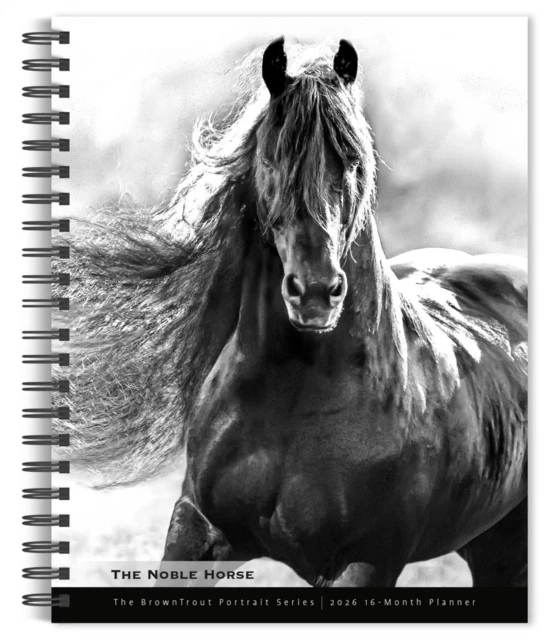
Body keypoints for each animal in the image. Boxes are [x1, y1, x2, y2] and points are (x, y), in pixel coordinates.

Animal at [57, 38, 527, 587]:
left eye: (353, 160)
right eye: (274, 155)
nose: (317, 292)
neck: (295, 398)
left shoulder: (366, 559)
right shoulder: (198, 527)